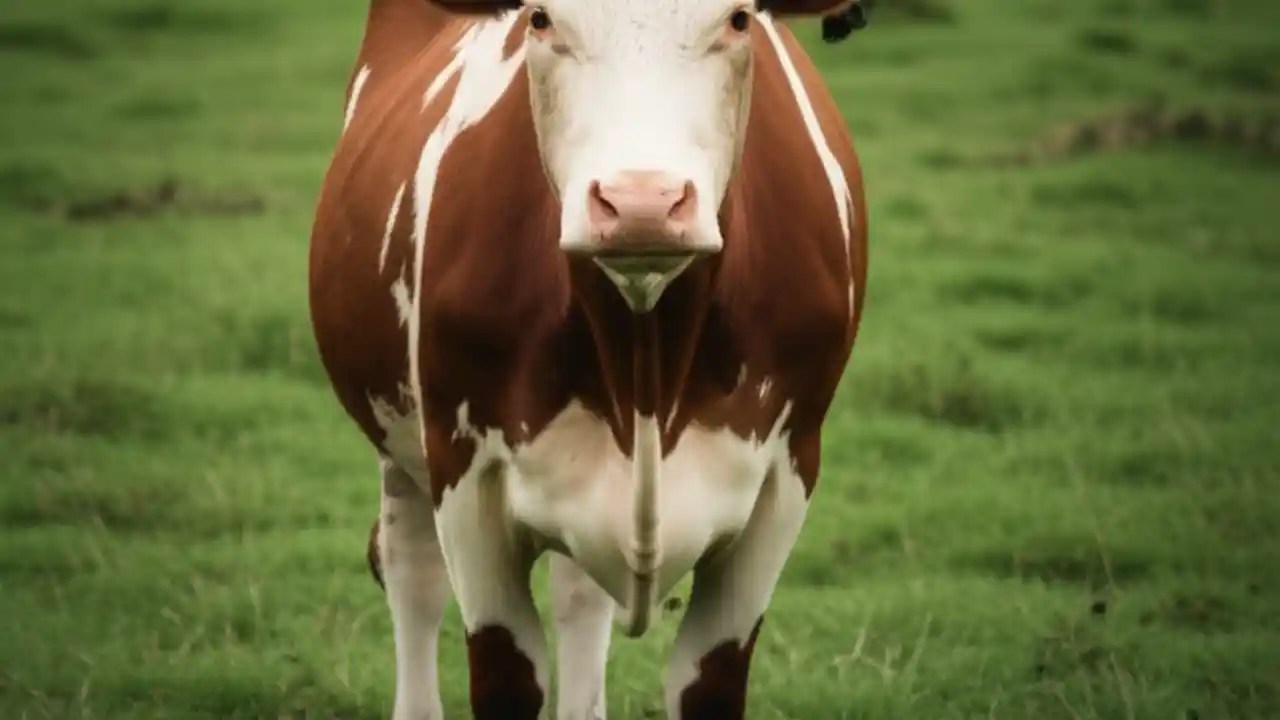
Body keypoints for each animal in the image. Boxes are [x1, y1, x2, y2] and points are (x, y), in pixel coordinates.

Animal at [309, 1, 868, 718]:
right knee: (411, 573)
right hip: (399, 434)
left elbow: (706, 679)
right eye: (541, 20)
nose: (641, 203)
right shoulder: (466, 476)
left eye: (740, 19)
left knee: (578, 600)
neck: (646, 364)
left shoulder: (786, 478)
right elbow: (506, 677)